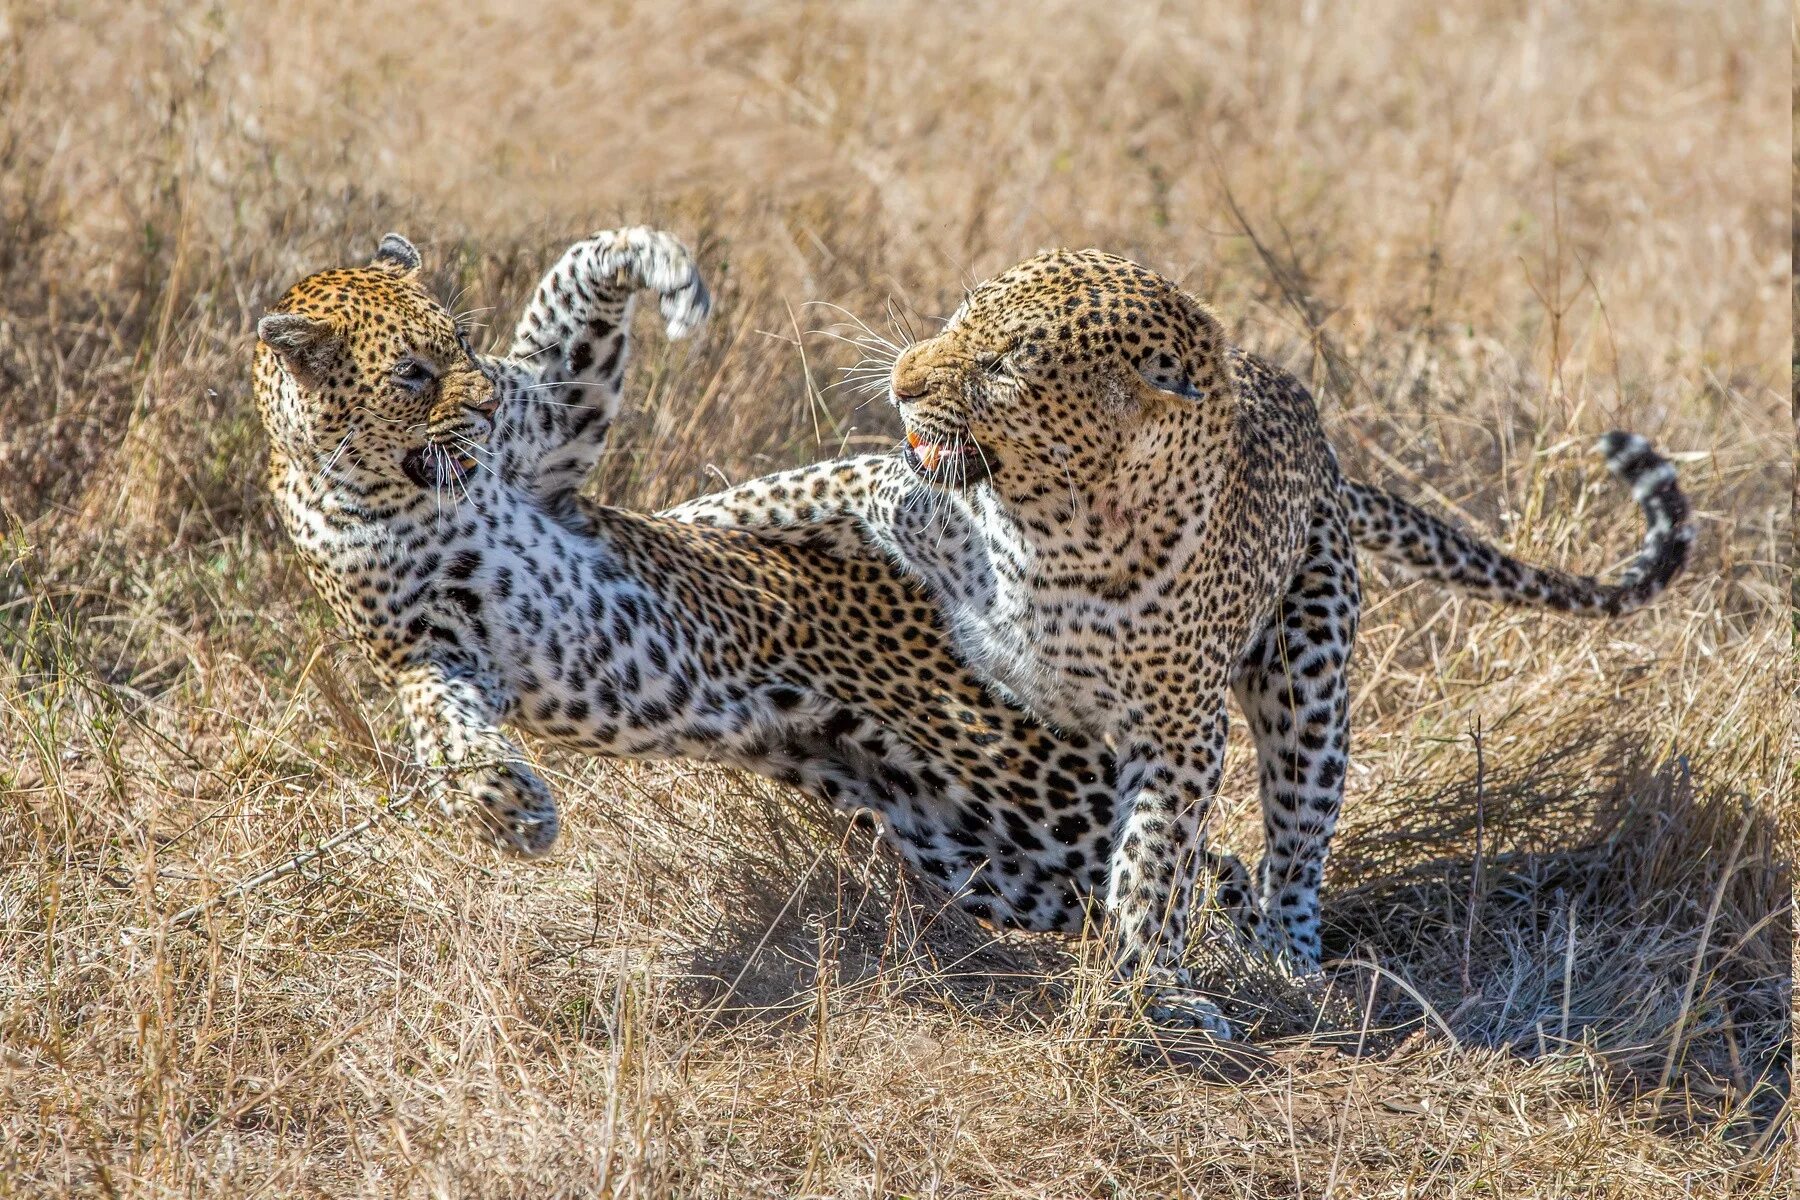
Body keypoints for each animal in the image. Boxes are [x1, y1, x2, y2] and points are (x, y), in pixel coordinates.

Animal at [662, 246, 1684, 1036]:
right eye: (958, 315)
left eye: (1006, 364)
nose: (904, 379)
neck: (1056, 530)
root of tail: (1326, 451)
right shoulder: (888, 493)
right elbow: (760, 497)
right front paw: (654, 532)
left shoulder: (1179, 732)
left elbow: (1154, 859)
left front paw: (1148, 983)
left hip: (1310, 677)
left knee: (1290, 848)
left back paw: (1289, 963)